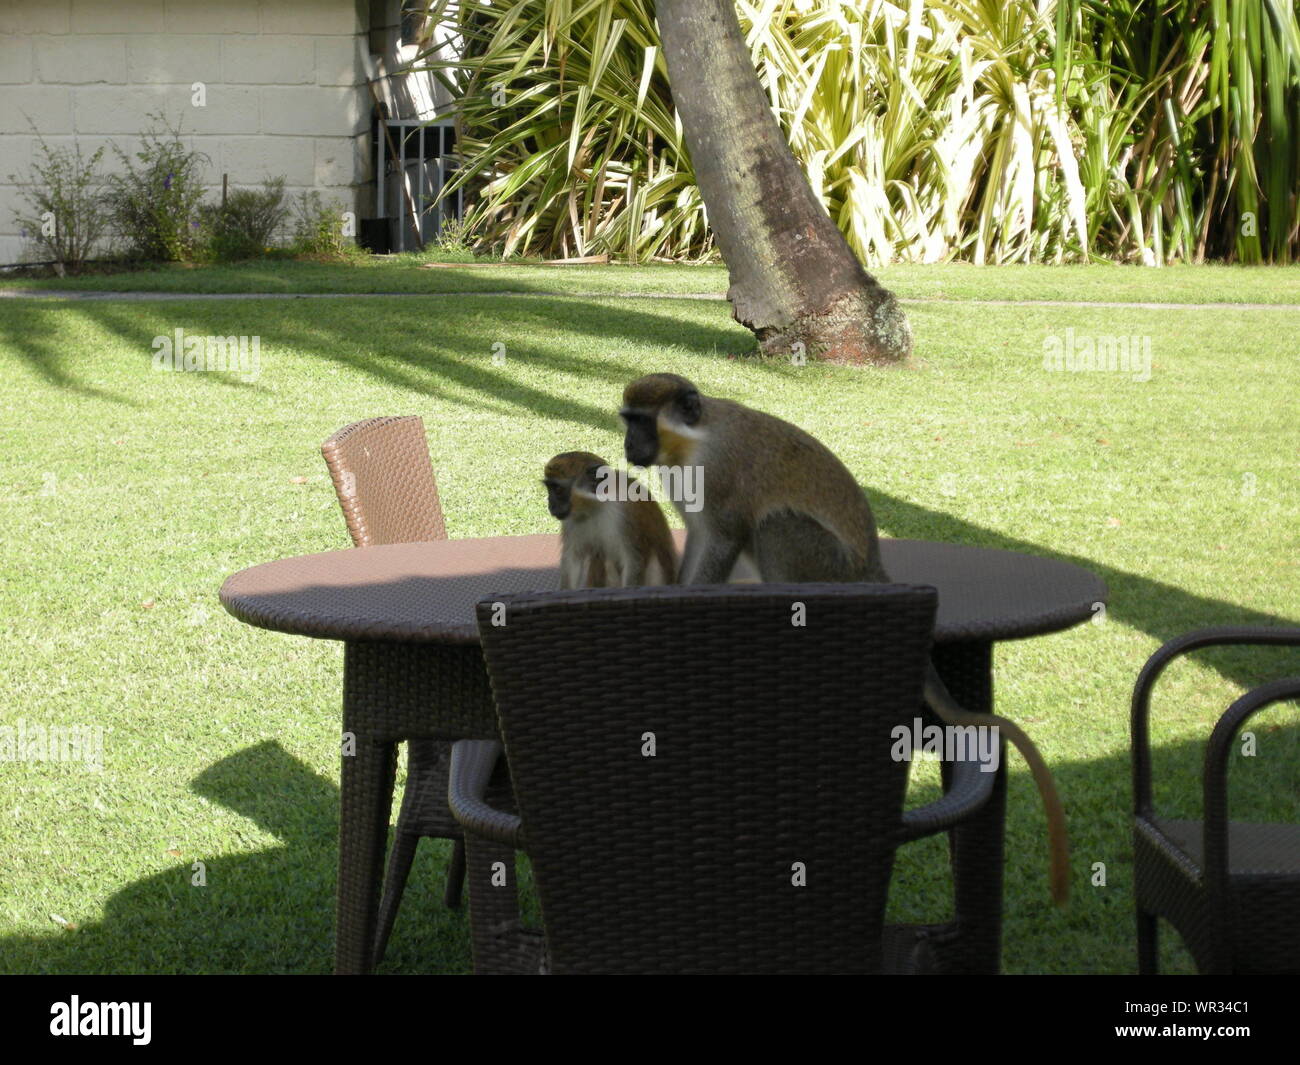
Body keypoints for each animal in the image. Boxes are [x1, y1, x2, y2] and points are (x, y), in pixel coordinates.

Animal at [543, 451, 678, 589]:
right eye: (549, 488)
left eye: (558, 490)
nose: (550, 505)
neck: (597, 506)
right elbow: (572, 559)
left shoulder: (626, 511)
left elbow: (634, 561)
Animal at [620, 373, 1070, 906]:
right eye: (626, 421)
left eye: (640, 422)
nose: (628, 447)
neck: (691, 439)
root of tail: (870, 565)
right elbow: (699, 538)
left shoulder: (717, 473)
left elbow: (724, 538)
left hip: (825, 562)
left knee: (772, 526)